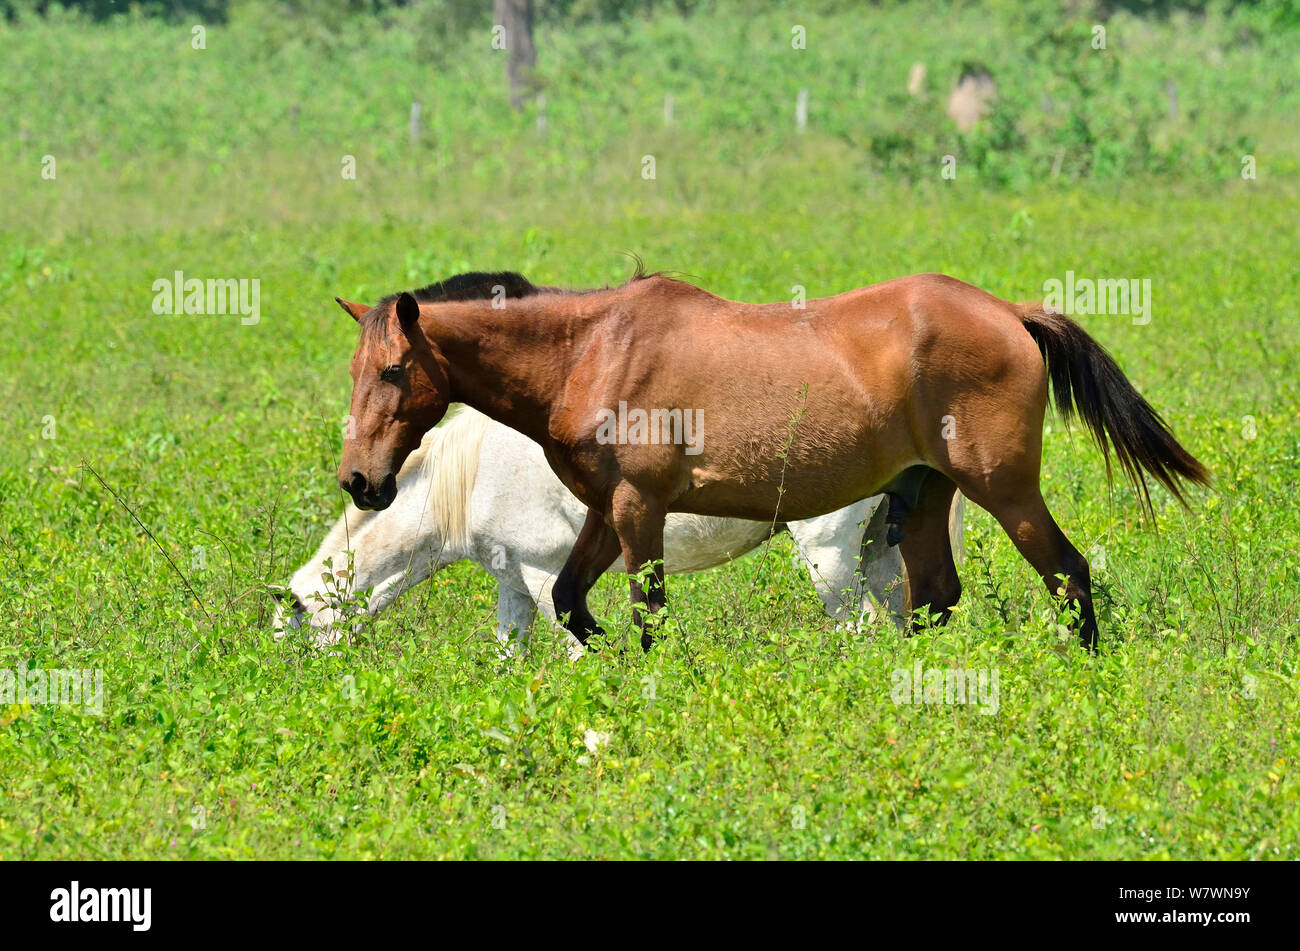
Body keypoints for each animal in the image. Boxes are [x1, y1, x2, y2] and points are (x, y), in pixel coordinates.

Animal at [274, 405, 966, 650]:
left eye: (301, 633)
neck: (467, 476)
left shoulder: (545, 574)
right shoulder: (512, 583)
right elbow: (509, 656)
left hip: (827, 554)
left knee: (861, 628)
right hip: (877, 549)